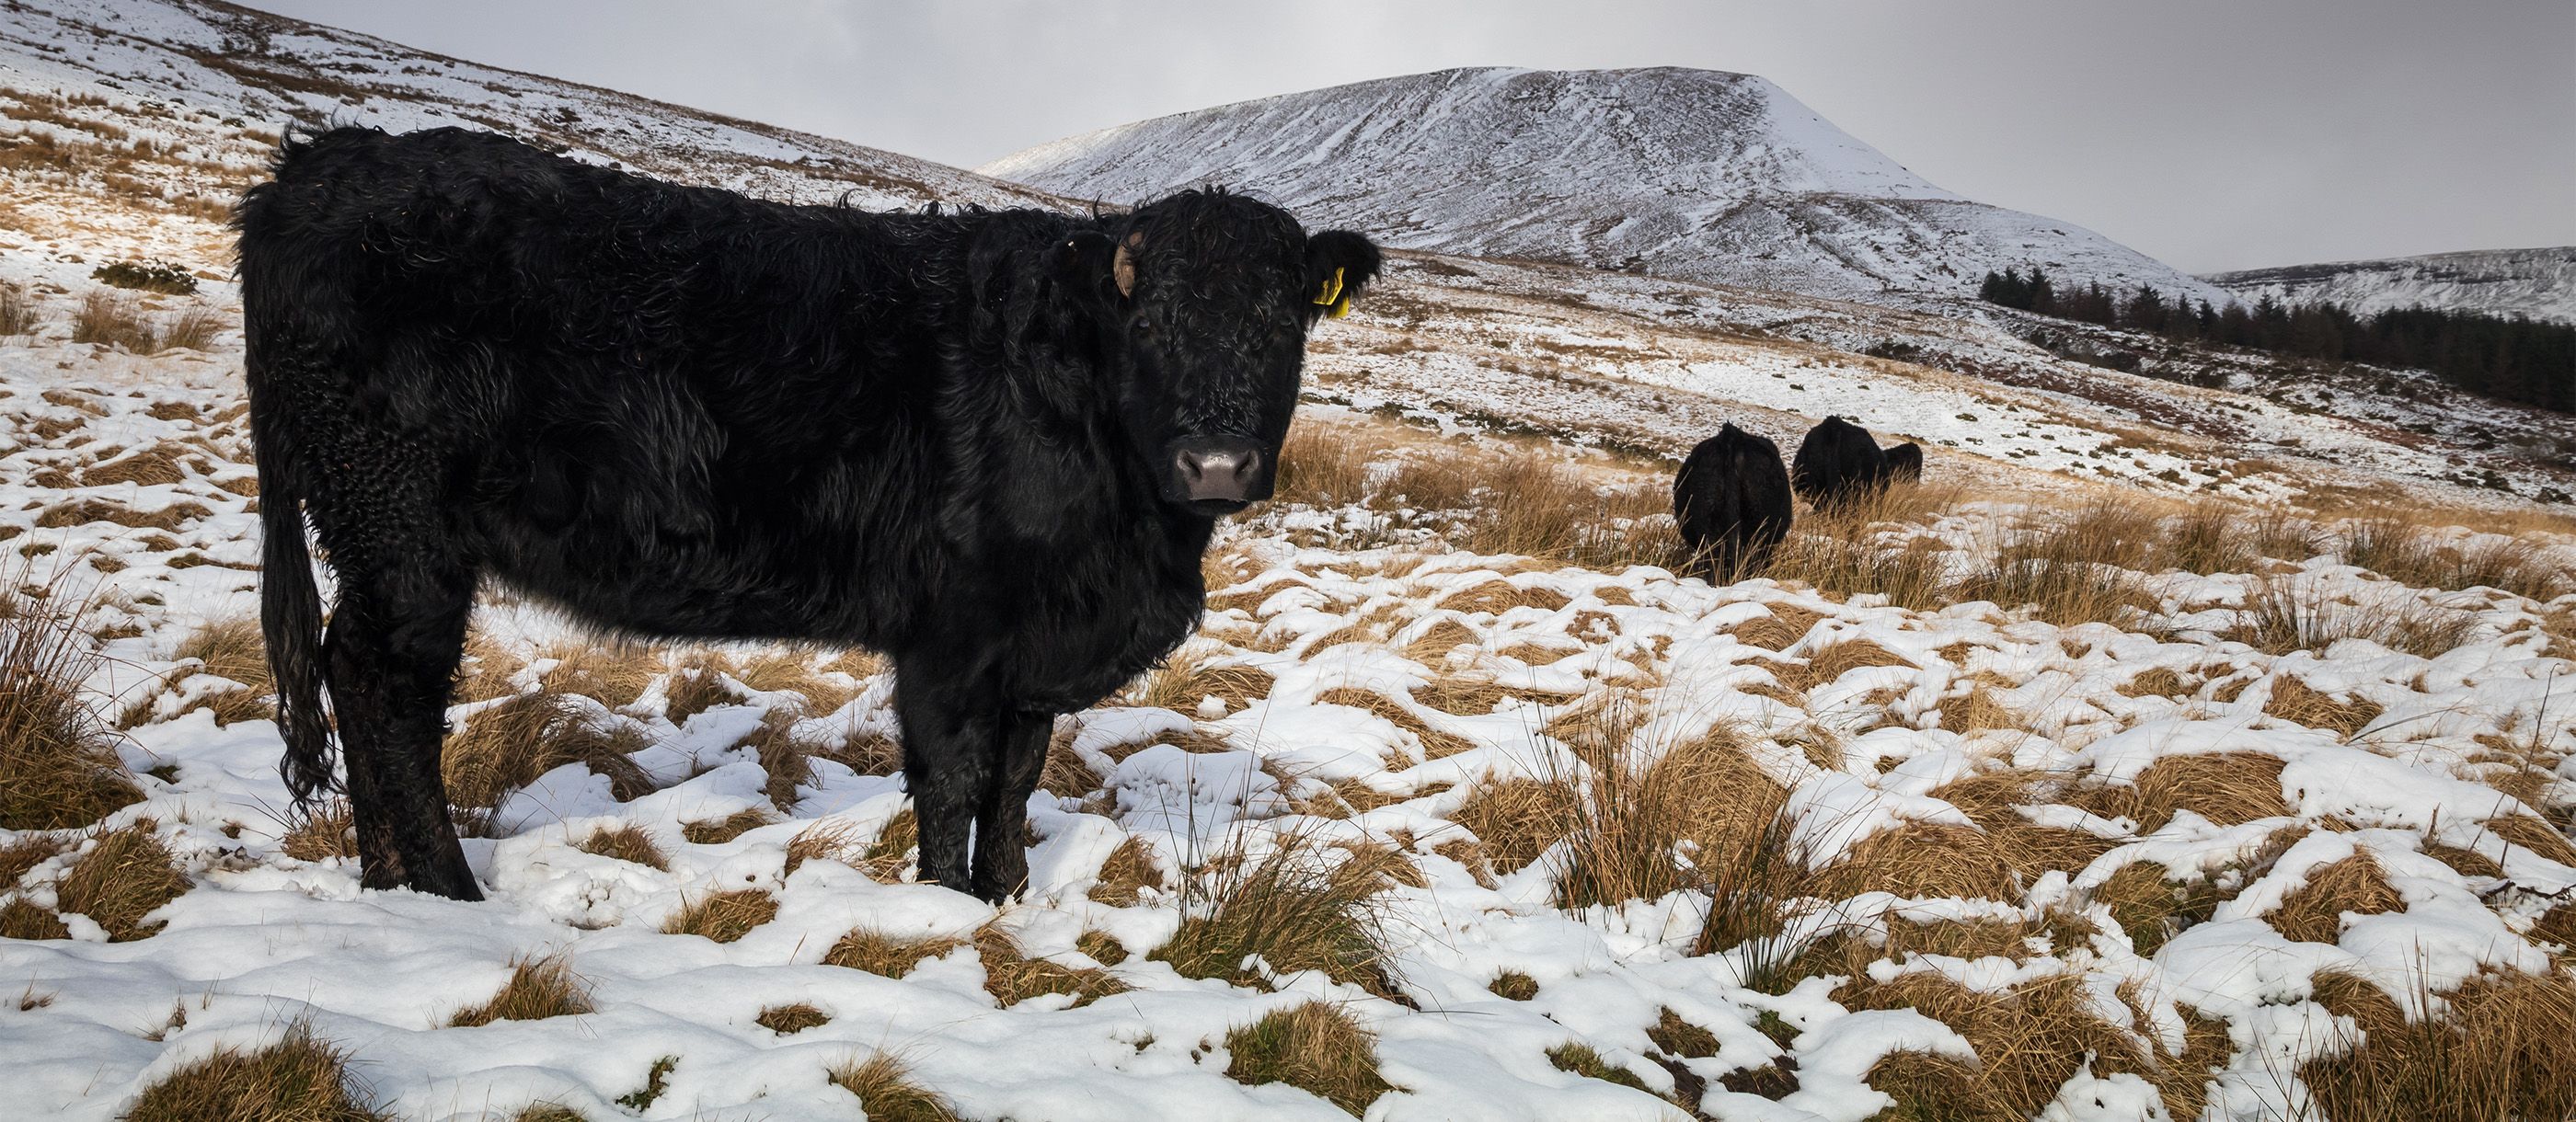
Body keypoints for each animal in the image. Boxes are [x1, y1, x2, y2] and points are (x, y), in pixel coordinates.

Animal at [235, 126, 1381, 902]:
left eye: (1285, 319)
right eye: (1149, 319)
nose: (1216, 461)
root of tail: (318, 164)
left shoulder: (1032, 641)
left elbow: (1017, 777)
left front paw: (1007, 898)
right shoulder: (952, 631)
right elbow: (954, 777)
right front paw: (948, 912)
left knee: (352, 672)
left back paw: (388, 879)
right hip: (398, 519)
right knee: (388, 688)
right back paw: (446, 886)